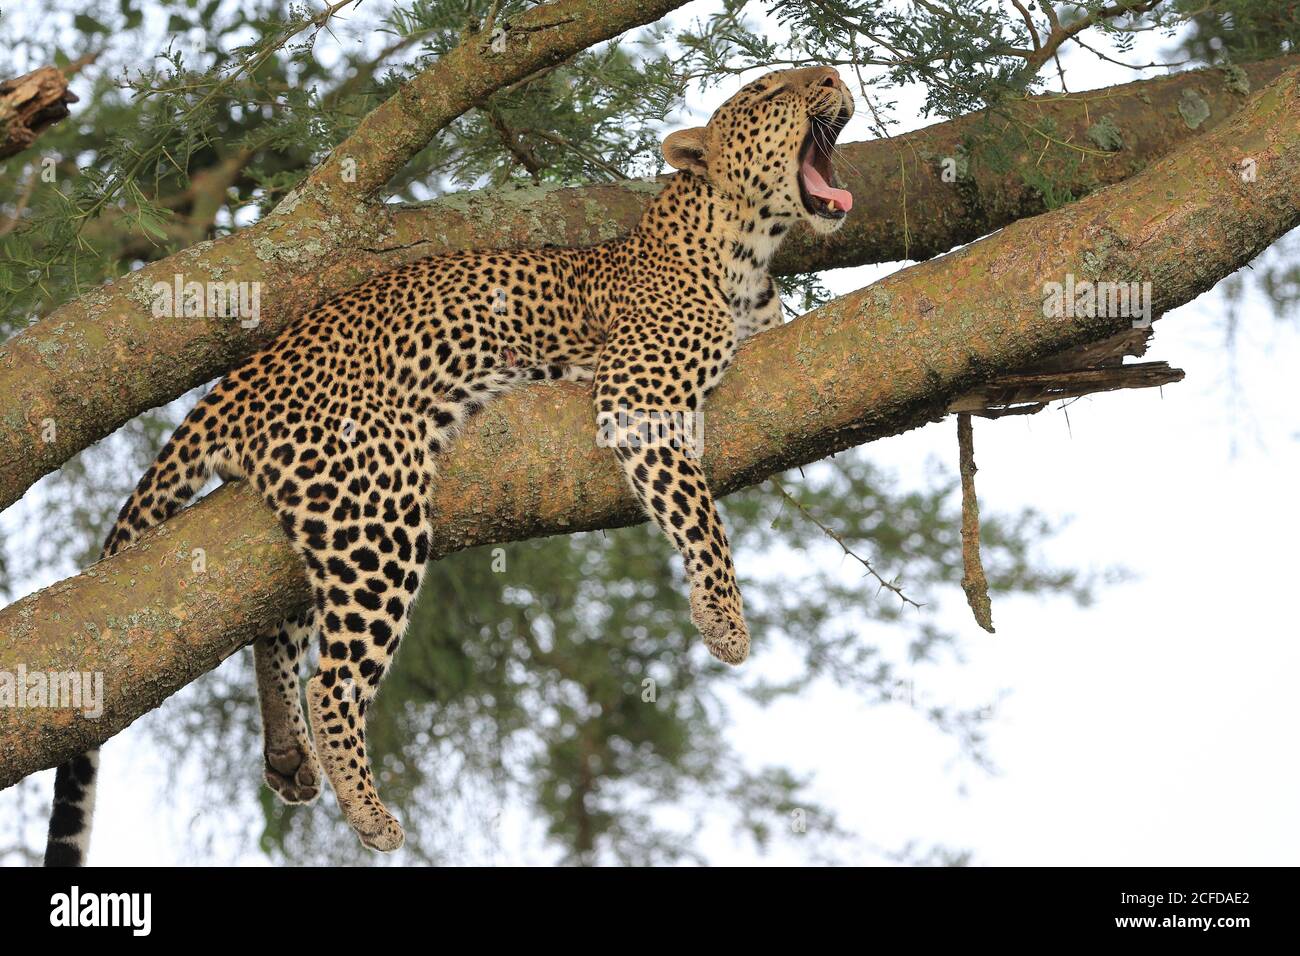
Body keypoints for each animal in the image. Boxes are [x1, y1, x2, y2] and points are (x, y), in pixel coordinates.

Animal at [44, 65, 855, 864]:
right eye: (772, 92)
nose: (833, 76)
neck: (745, 249)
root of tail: (237, 381)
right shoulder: (639, 396)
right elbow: (699, 511)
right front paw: (723, 620)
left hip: (316, 517)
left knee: (275, 632)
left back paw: (289, 756)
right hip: (372, 507)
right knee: (331, 681)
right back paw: (370, 813)